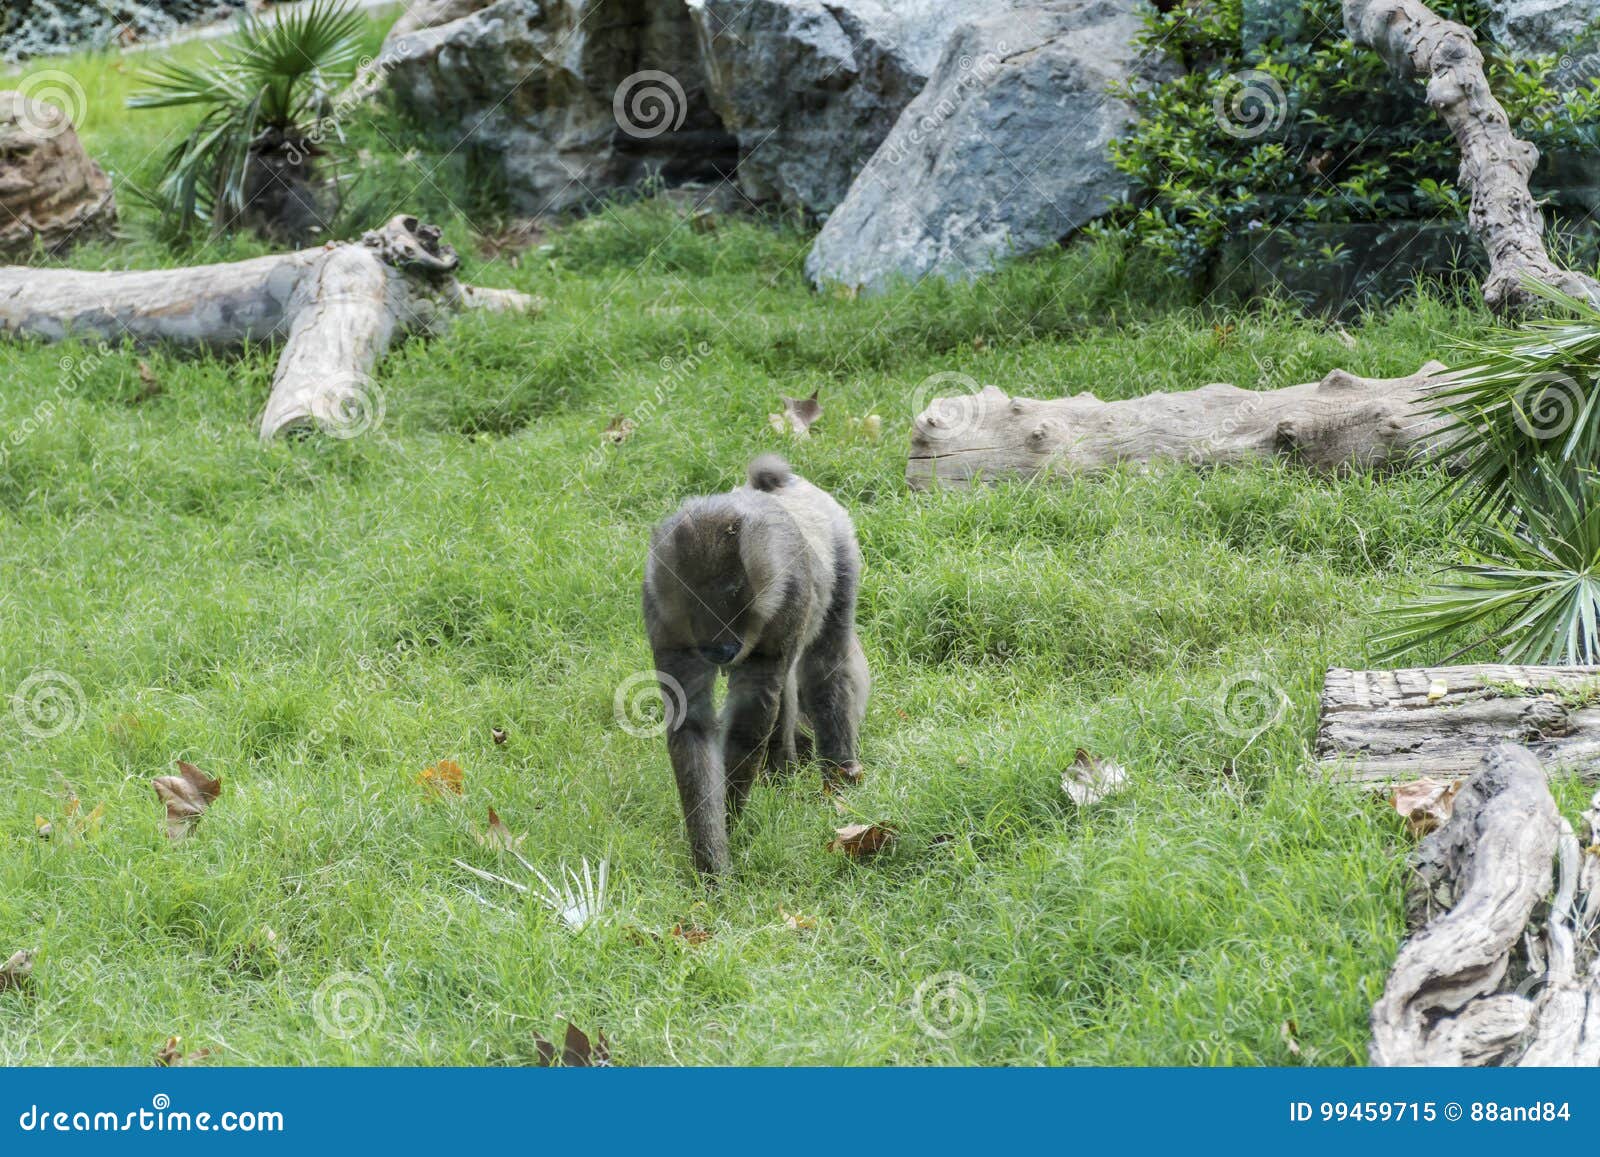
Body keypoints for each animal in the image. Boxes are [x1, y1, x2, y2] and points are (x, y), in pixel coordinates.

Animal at [642, 454, 869, 877]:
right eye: (696, 598)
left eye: (733, 592)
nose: (720, 646)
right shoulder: (663, 616)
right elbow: (692, 724)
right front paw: (710, 862)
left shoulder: (789, 597)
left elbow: (751, 717)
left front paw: (728, 827)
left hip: (841, 554)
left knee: (824, 668)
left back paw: (838, 777)